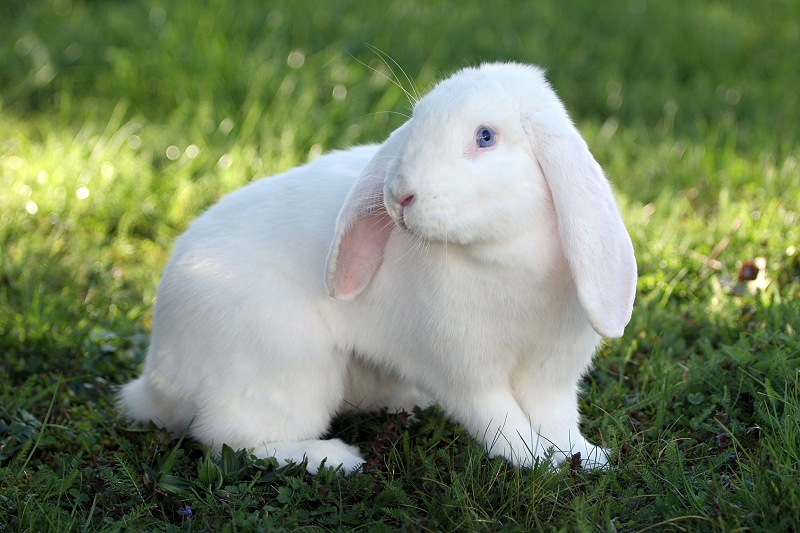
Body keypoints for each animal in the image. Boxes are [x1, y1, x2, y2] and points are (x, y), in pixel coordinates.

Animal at [119, 62, 637, 475]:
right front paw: (534, 460)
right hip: (285, 369)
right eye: (416, 123)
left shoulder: (553, 374)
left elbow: (558, 419)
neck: (500, 254)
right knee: (227, 439)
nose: (400, 195)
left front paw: (585, 458)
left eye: (485, 137)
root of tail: (158, 378)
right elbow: (500, 421)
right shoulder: (468, 374)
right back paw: (334, 458)